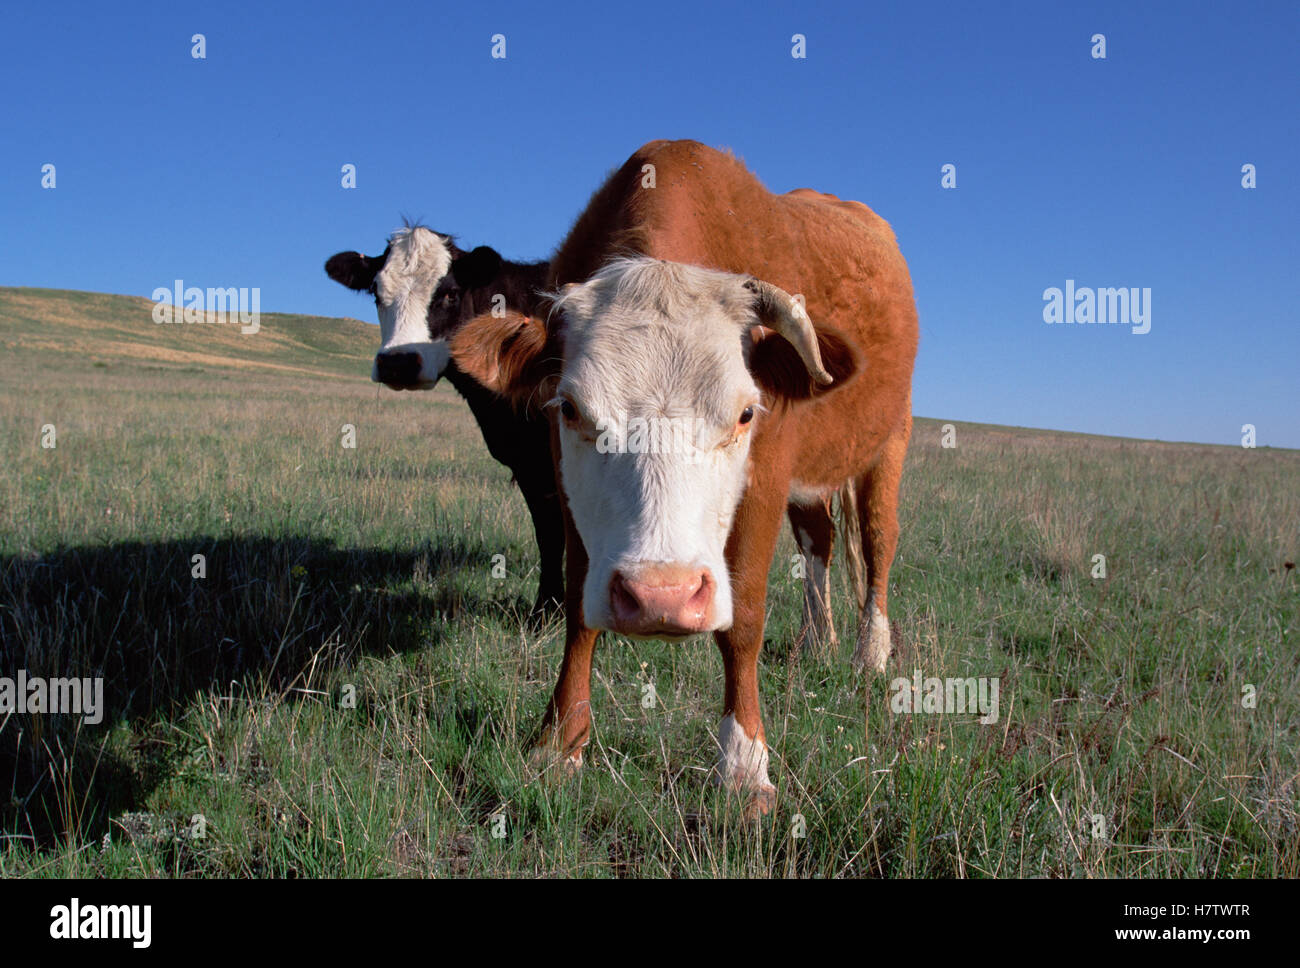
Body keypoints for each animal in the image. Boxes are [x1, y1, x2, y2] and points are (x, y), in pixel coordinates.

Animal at [325, 226, 564, 618]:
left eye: (450, 293)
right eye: (376, 291)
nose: (398, 362)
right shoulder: (527, 461)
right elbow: (548, 532)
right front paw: (547, 609)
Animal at [450, 140, 919, 815]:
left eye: (746, 413)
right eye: (571, 409)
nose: (661, 597)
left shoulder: (767, 479)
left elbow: (743, 621)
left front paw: (745, 765)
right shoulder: (565, 487)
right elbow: (578, 609)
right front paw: (558, 744)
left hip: (889, 442)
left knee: (878, 542)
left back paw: (868, 654)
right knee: (820, 542)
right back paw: (816, 643)